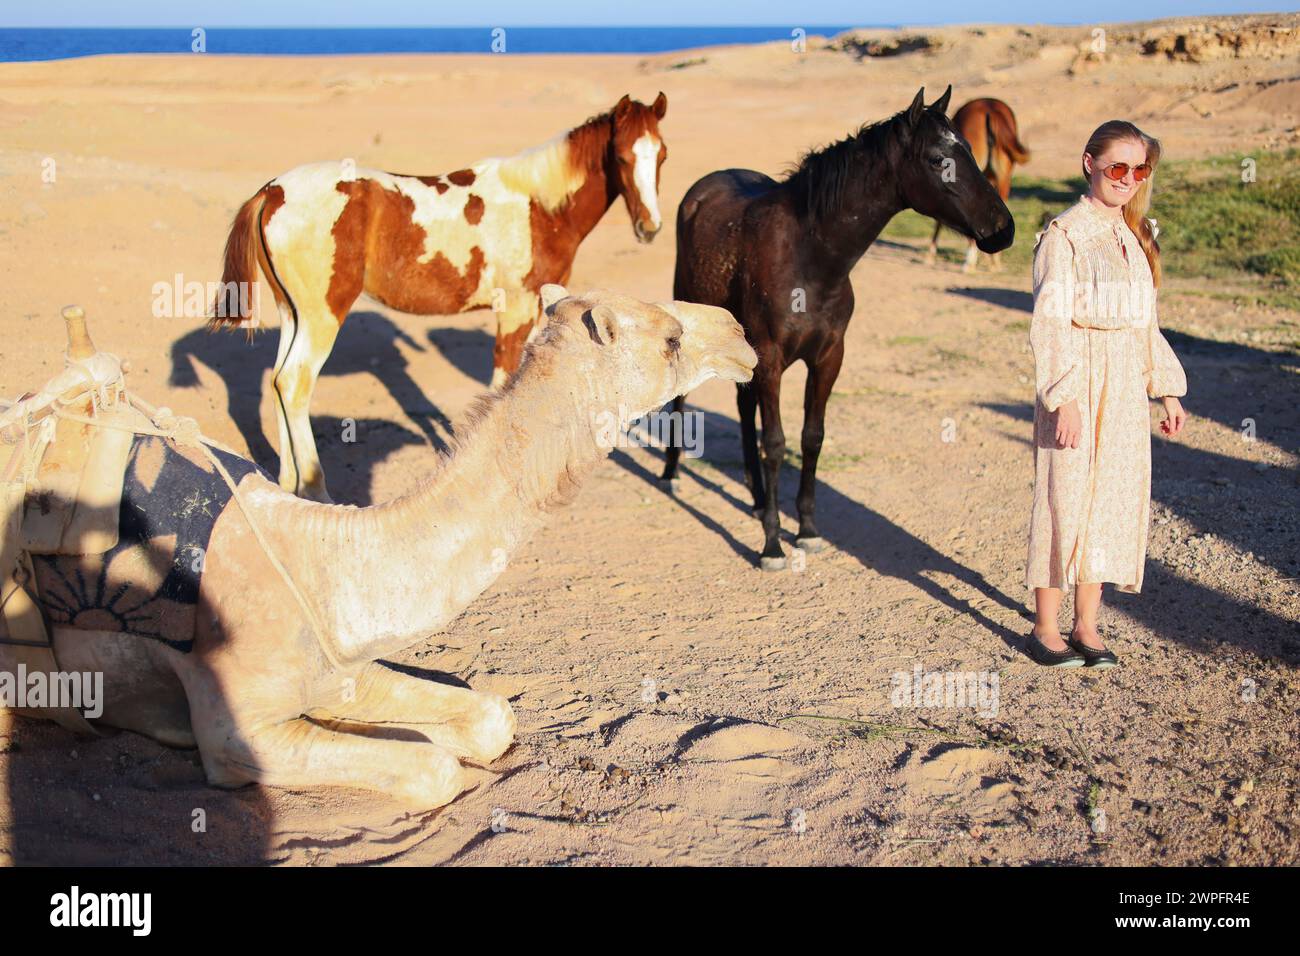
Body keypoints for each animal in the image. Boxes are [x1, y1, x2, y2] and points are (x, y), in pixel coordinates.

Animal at [0, 288, 756, 809]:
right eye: (670, 337)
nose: (741, 332)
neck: (319, 563)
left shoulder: (343, 666)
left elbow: (485, 718)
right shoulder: (234, 729)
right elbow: (429, 768)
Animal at [211, 93, 668, 502]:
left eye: (661, 156)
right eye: (622, 157)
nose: (650, 227)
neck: (539, 206)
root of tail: (273, 191)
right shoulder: (516, 310)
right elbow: (502, 384)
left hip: (294, 314)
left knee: (277, 380)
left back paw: (288, 483)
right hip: (323, 315)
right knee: (295, 383)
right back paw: (315, 488)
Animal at [661, 87, 1014, 571]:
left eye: (970, 151)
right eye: (938, 158)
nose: (1003, 230)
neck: (809, 259)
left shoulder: (828, 357)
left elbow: (811, 438)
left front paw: (806, 530)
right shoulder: (771, 359)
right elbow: (776, 443)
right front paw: (772, 545)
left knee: (743, 406)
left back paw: (757, 496)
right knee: (684, 396)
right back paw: (672, 473)